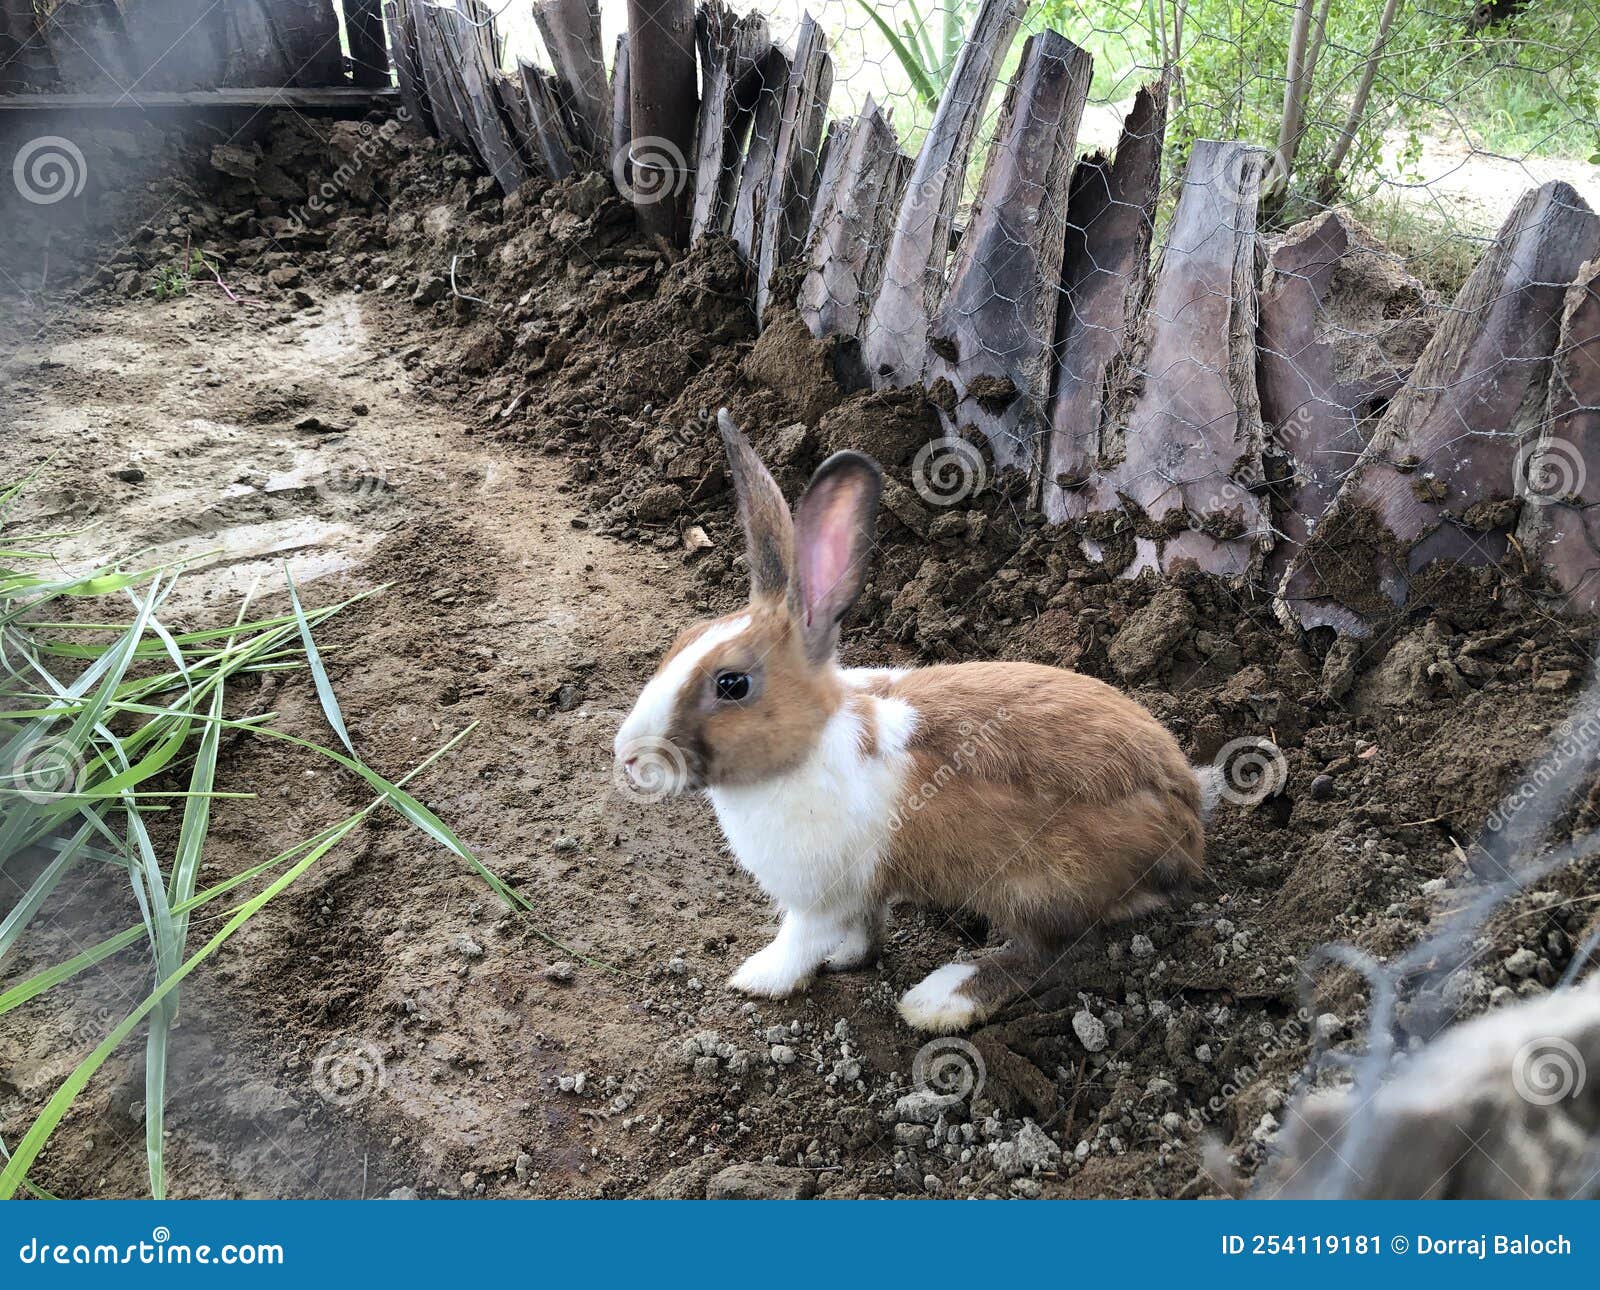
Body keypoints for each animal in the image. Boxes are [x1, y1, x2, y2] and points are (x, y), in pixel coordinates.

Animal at [613, 410, 1220, 1033]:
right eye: (684, 638)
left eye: (732, 684)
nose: (629, 756)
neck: (810, 747)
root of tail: (1186, 827)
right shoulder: (860, 893)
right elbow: (864, 928)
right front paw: (849, 959)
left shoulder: (819, 899)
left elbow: (799, 942)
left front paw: (759, 978)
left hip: (1037, 890)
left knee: (1051, 954)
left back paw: (940, 999)